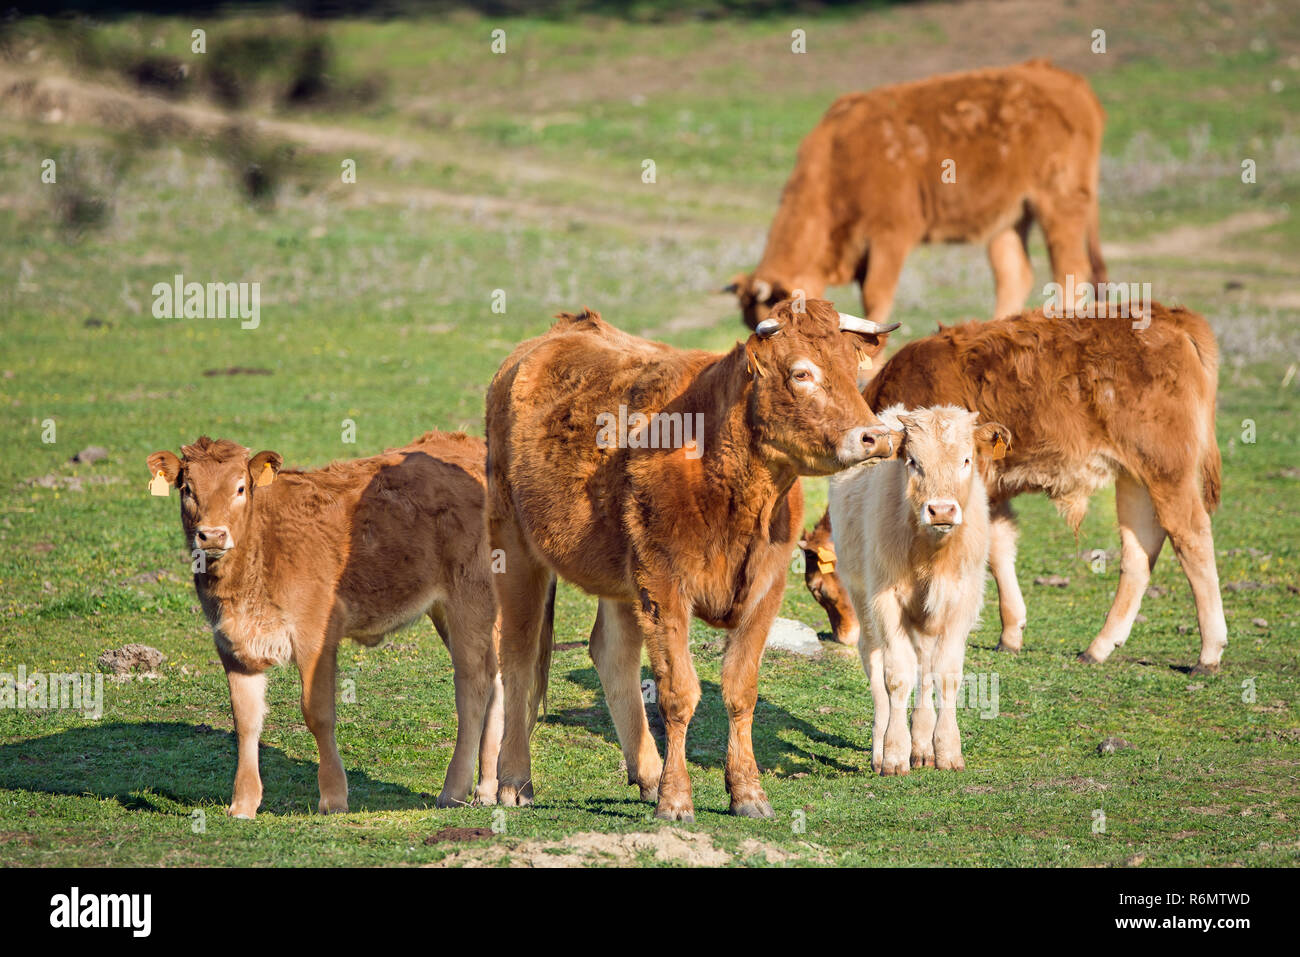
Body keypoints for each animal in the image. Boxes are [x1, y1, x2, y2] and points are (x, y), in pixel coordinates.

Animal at [146, 431, 502, 818]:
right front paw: (243, 803)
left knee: (474, 684)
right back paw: (488, 789)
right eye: (187, 489)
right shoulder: (230, 643)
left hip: (471, 597)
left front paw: (333, 796)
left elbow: (317, 713)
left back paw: (453, 789)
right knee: (497, 678)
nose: (212, 536)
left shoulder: (314, 636)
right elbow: (245, 719)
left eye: (240, 488)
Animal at [484, 299, 900, 821]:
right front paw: (677, 798)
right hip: (515, 548)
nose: (876, 437)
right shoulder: (664, 587)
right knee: (518, 656)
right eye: (801, 373)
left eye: (852, 370)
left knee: (613, 656)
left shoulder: (765, 589)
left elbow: (740, 690)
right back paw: (514, 781)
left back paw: (646, 775)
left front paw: (746, 791)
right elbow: (679, 693)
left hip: (620, 576)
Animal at [727, 58, 1107, 331]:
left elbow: (875, 302)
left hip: (1060, 202)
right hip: (1011, 218)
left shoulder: (890, 238)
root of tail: (1062, 78)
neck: (840, 158)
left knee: (1071, 269)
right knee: (1014, 275)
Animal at [805, 301, 1228, 673]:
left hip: (1167, 471)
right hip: (1134, 478)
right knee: (1140, 552)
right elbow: (1000, 549)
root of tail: (1172, 318)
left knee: (1192, 538)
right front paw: (1011, 633)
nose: (844, 637)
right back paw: (1099, 647)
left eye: (820, 590)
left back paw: (1208, 654)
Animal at [830, 405, 1010, 774]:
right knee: (876, 662)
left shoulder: (962, 601)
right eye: (913, 461)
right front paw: (895, 753)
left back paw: (923, 745)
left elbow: (946, 674)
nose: (941, 510)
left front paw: (947, 749)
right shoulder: (885, 600)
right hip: (861, 596)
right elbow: (897, 676)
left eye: (966, 459)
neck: (932, 552)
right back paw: (881, 748)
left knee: (925, 665)